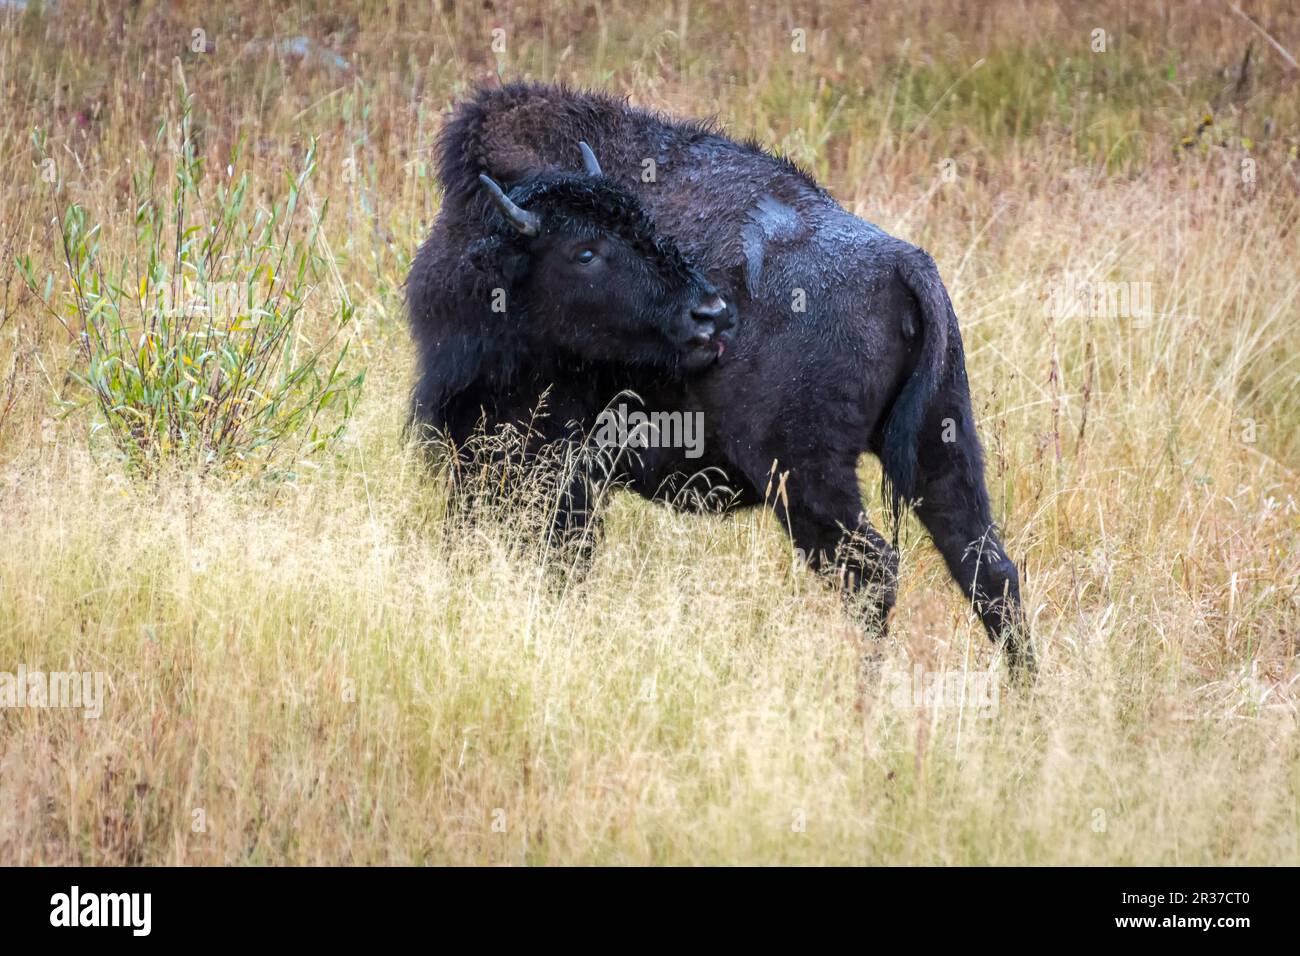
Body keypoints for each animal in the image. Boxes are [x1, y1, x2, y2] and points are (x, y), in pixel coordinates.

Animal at [408, 84, 1034, 672]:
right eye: (586, 250)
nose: (709, 313)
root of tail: (904, 263)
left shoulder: (554, 467)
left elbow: (562, 558)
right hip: (943, 447)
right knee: (989, 571)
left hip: (805, 477)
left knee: (873, 571)